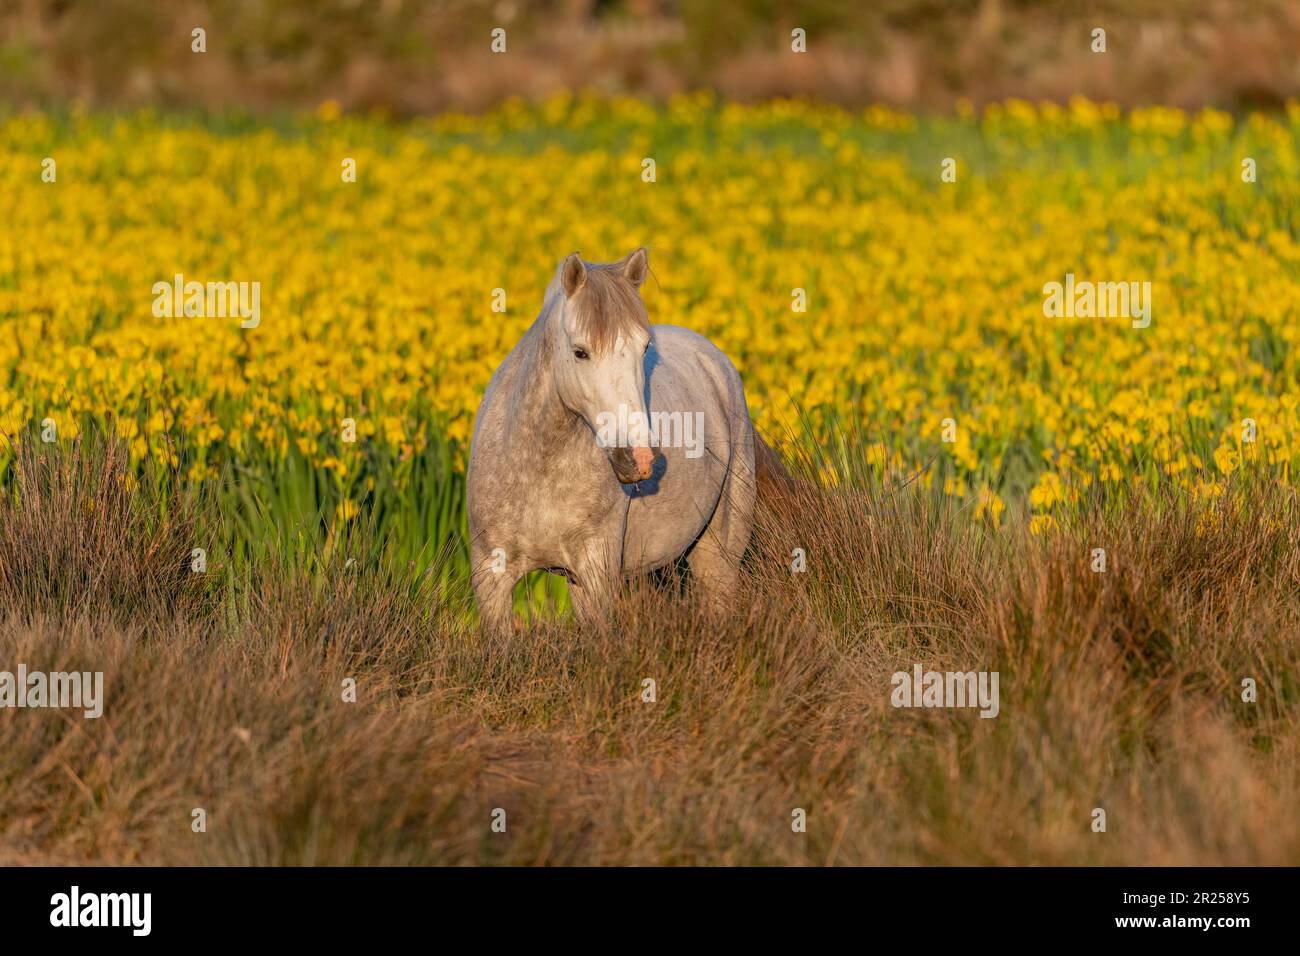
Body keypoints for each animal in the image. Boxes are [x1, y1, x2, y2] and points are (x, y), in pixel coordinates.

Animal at [466, 248, 758, 634]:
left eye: (644, 348)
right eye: (580, 352)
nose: (640, 459)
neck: (538, 468)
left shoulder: (595, 575)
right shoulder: (492, 578)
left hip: (718, 555)